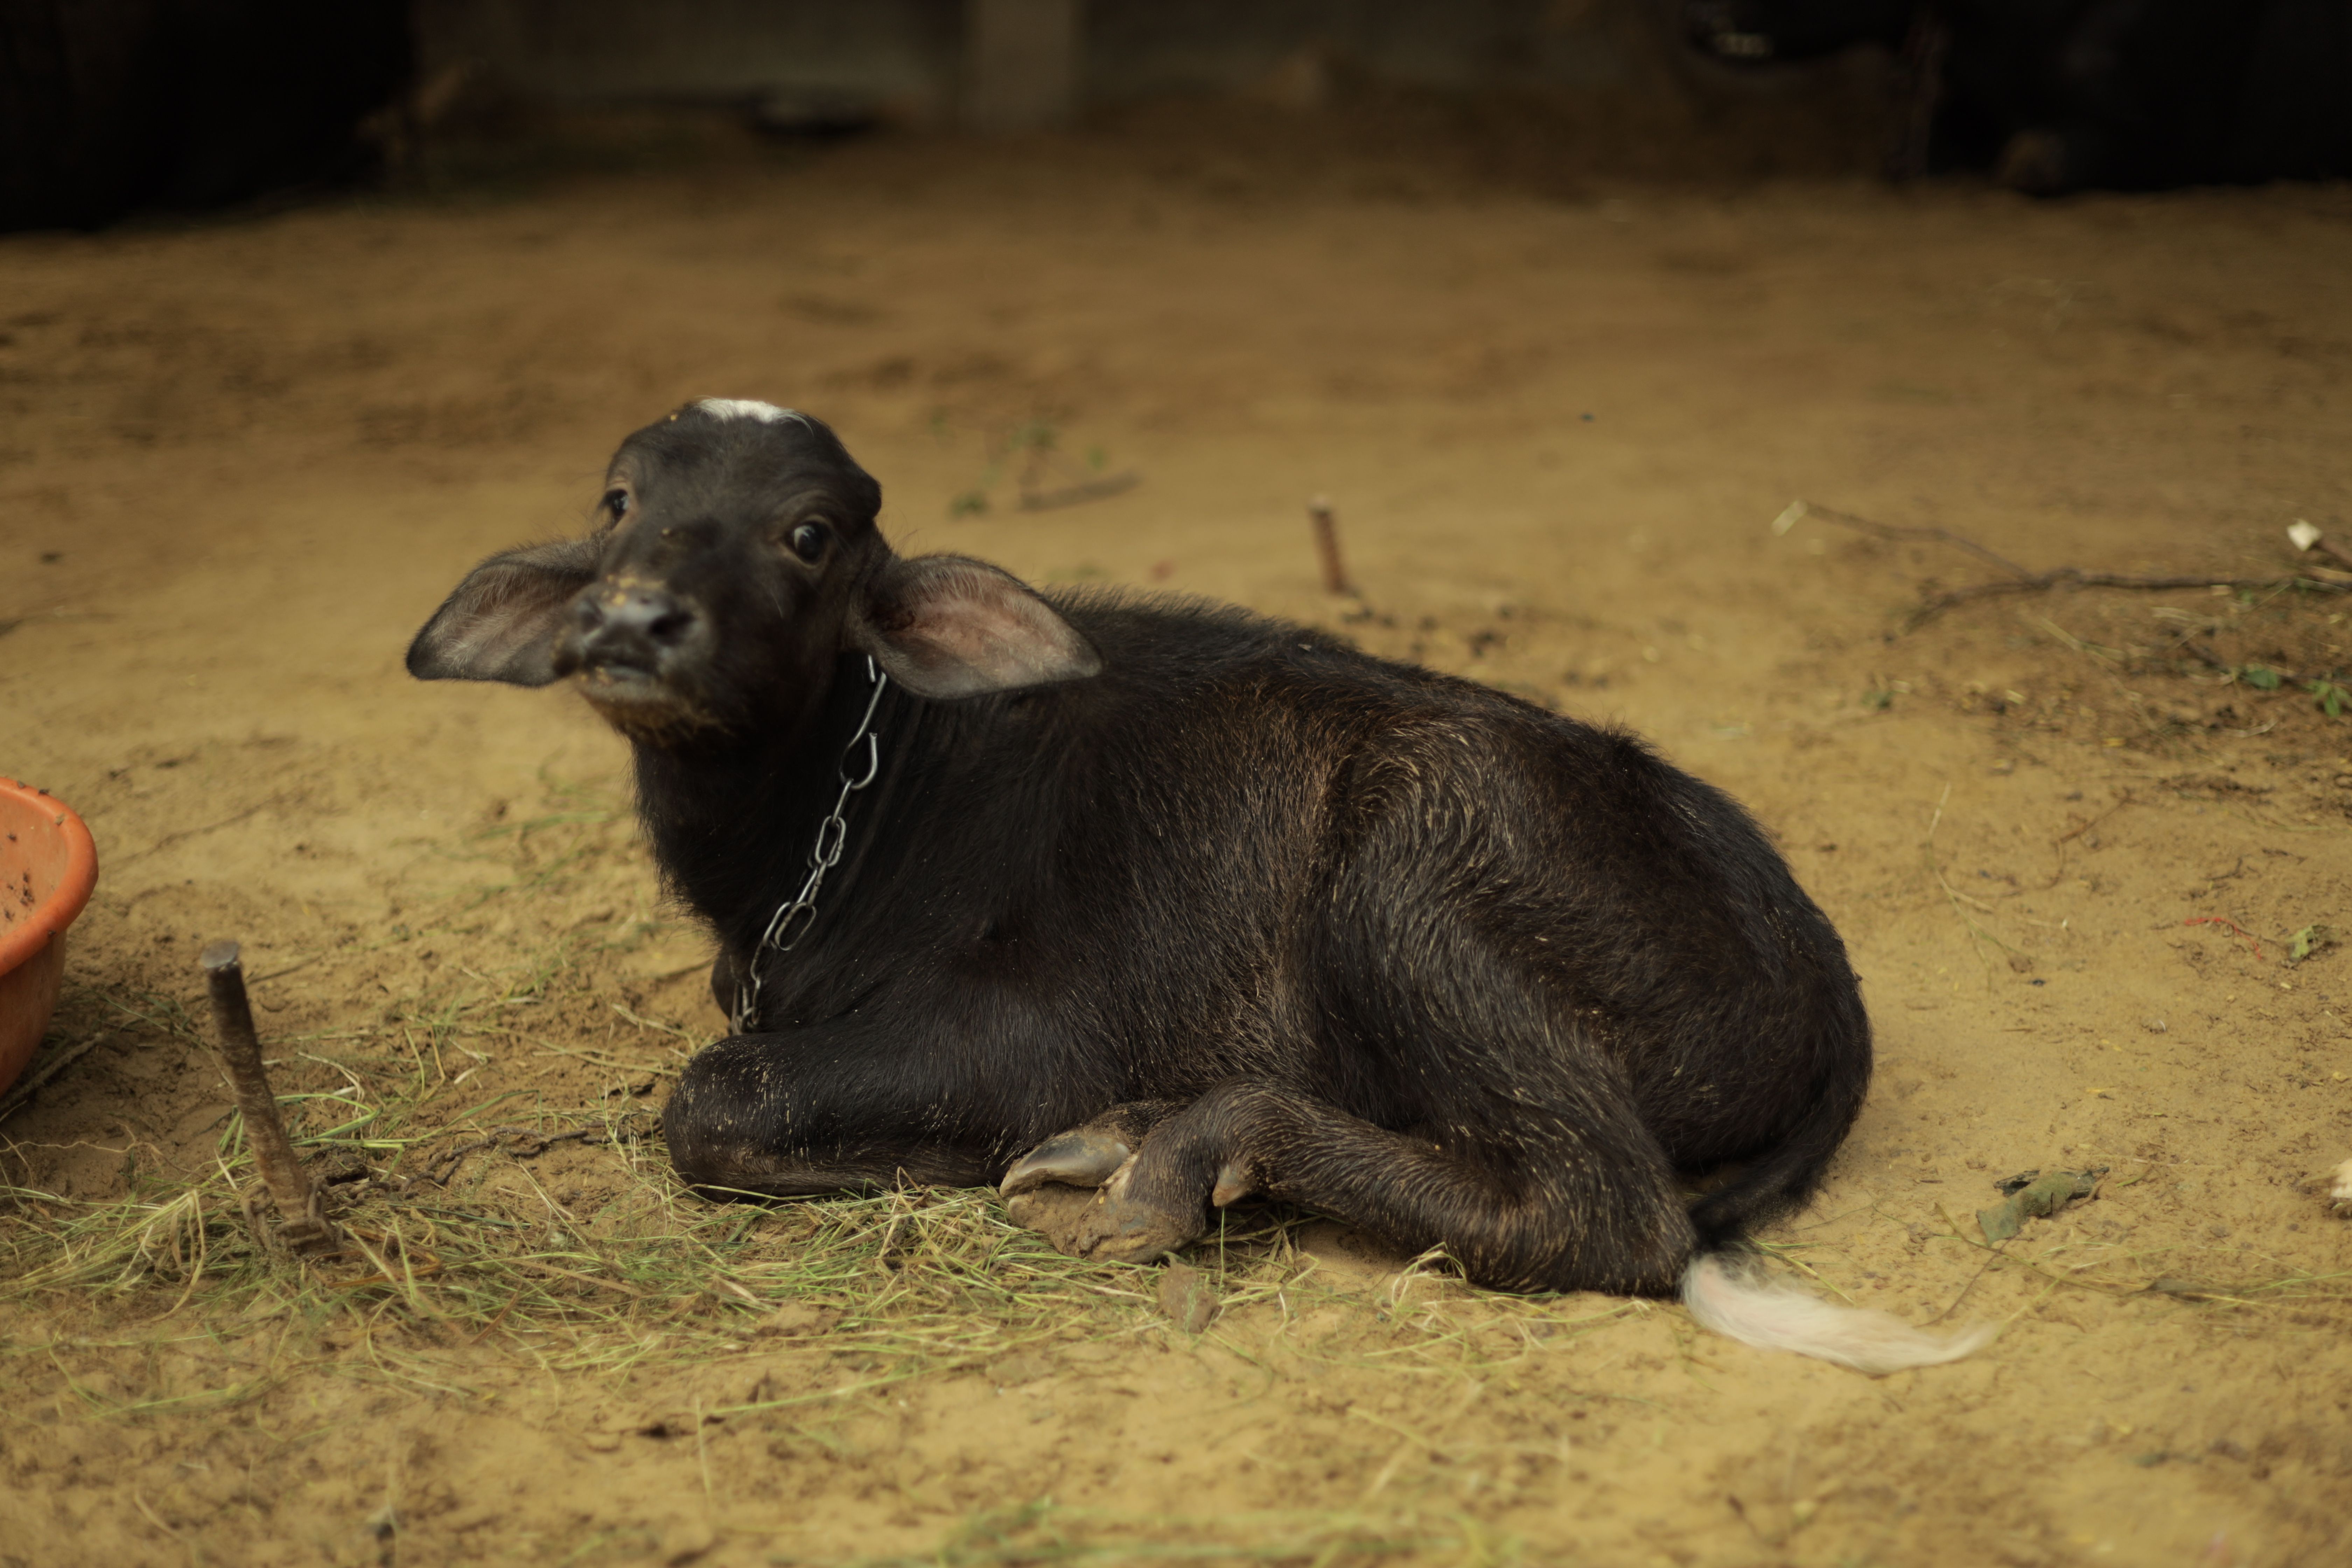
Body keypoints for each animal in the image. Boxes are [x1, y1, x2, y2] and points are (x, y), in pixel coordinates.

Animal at [406, 399, 1992, 1374]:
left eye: (810, 532)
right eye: (617, 502)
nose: (633, 620)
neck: (841, 820)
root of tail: (1815, 967)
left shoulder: (1020, 1039)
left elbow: (707, 1101)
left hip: (1413, 871)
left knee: (1602, 1209)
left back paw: (1166, 1156)